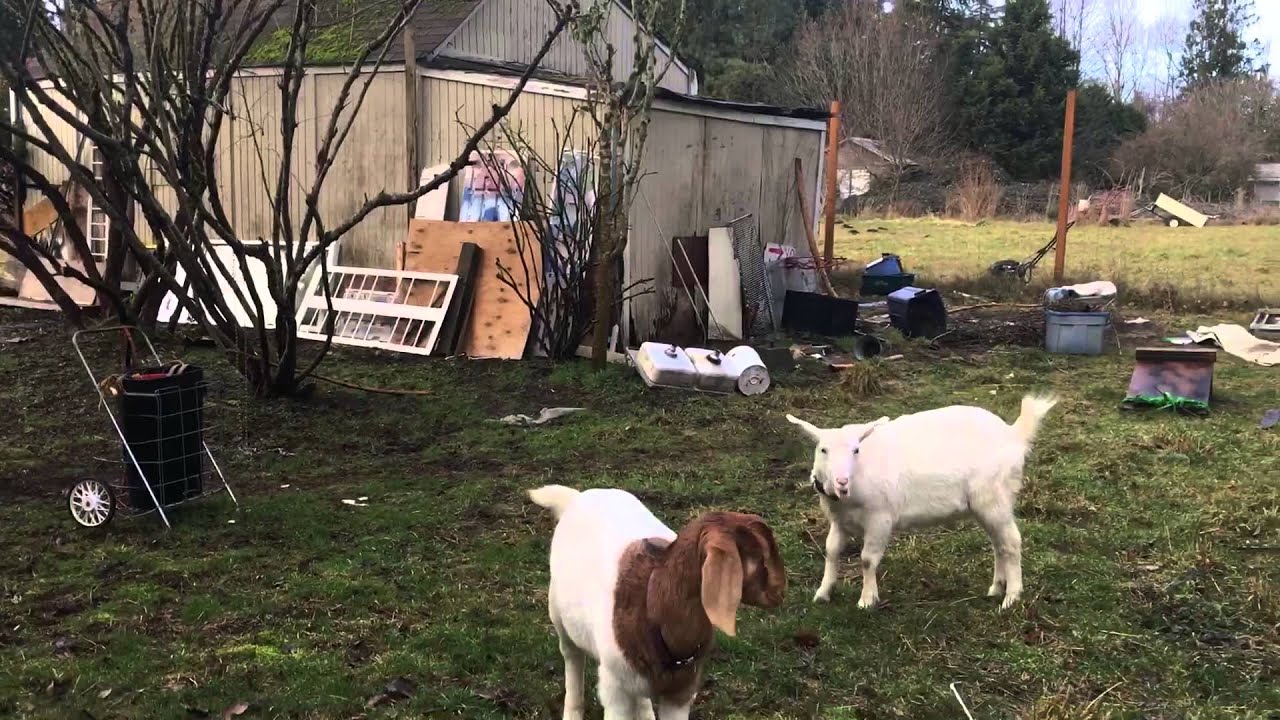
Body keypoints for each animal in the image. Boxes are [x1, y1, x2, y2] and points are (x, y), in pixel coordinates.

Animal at [527, 485, 787, 720]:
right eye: (758, 555)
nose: (780, 592)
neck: (650, 604)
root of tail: (581, 495)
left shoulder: (681, 692)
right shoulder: (614, 690)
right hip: (559, 616)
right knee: (572, 659)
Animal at [787, 394, 1058, 610]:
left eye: (856, 450)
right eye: (823, 450)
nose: (842, 482)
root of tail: (1014, 434)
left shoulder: (880, 518)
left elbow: (867, 559)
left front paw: (867, 600)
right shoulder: (839, 521)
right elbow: (831, 551)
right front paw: (823, 593)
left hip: (994, 496)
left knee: (1011, 542)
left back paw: (1012, 597)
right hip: (987, 505)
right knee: (998, 543)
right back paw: (996, 588)